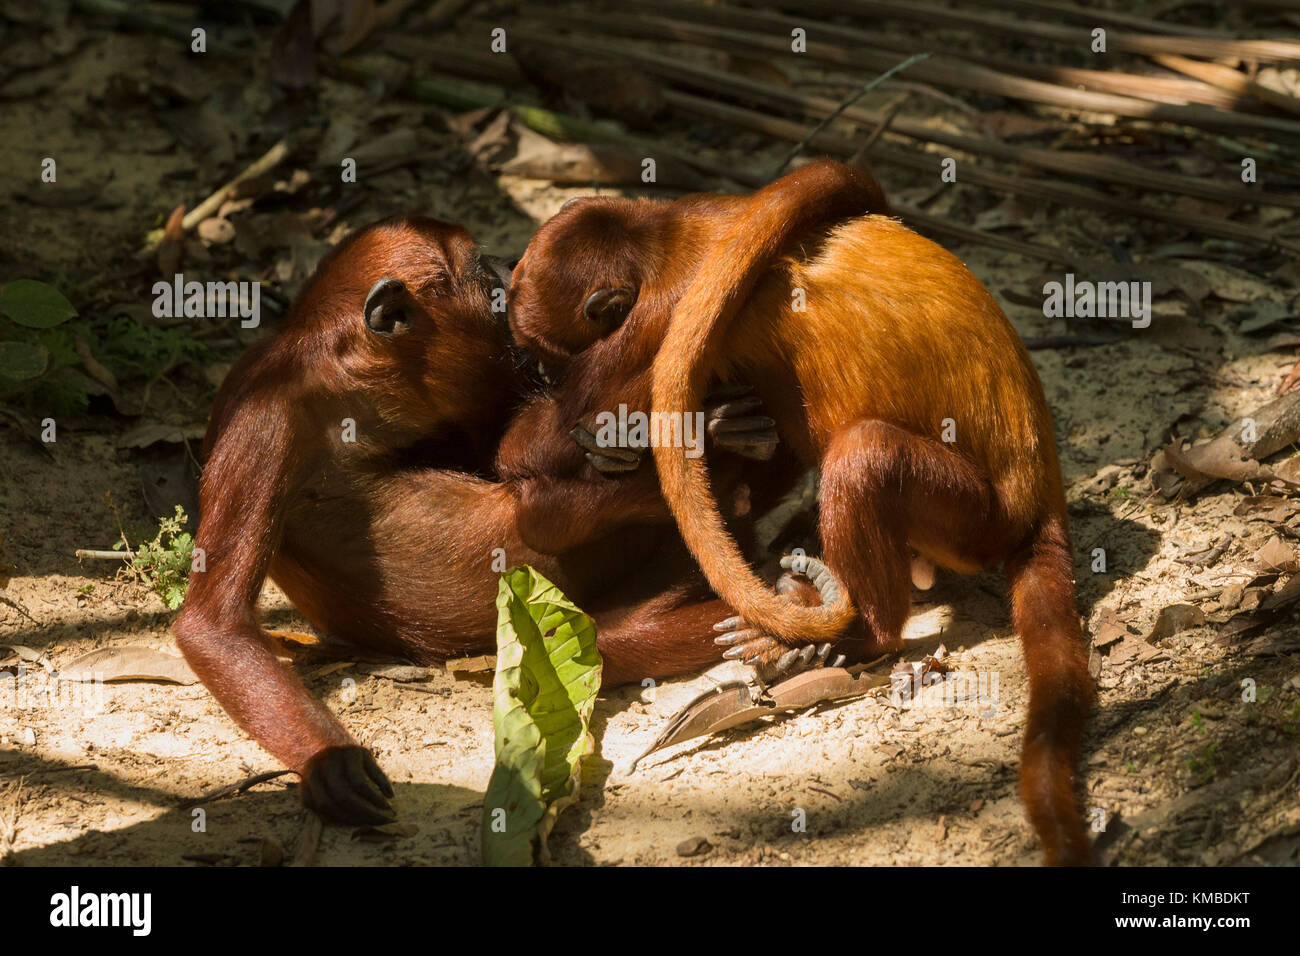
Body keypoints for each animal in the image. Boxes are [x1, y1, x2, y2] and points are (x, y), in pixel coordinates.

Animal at [173, 216, 785, 826]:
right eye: (487, 281)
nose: (510, 270)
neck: (341, 381)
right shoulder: (266, 412)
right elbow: (213, 625)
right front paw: (329, 759)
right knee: (600, 623)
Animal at [500, 160, 1093, 865]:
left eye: (545, 360)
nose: (537, 378)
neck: (664, 237)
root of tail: (1040, 495)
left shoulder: (666, 313)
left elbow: (536, 457)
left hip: (975, 526)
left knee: (864, 456)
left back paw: (859, 635)